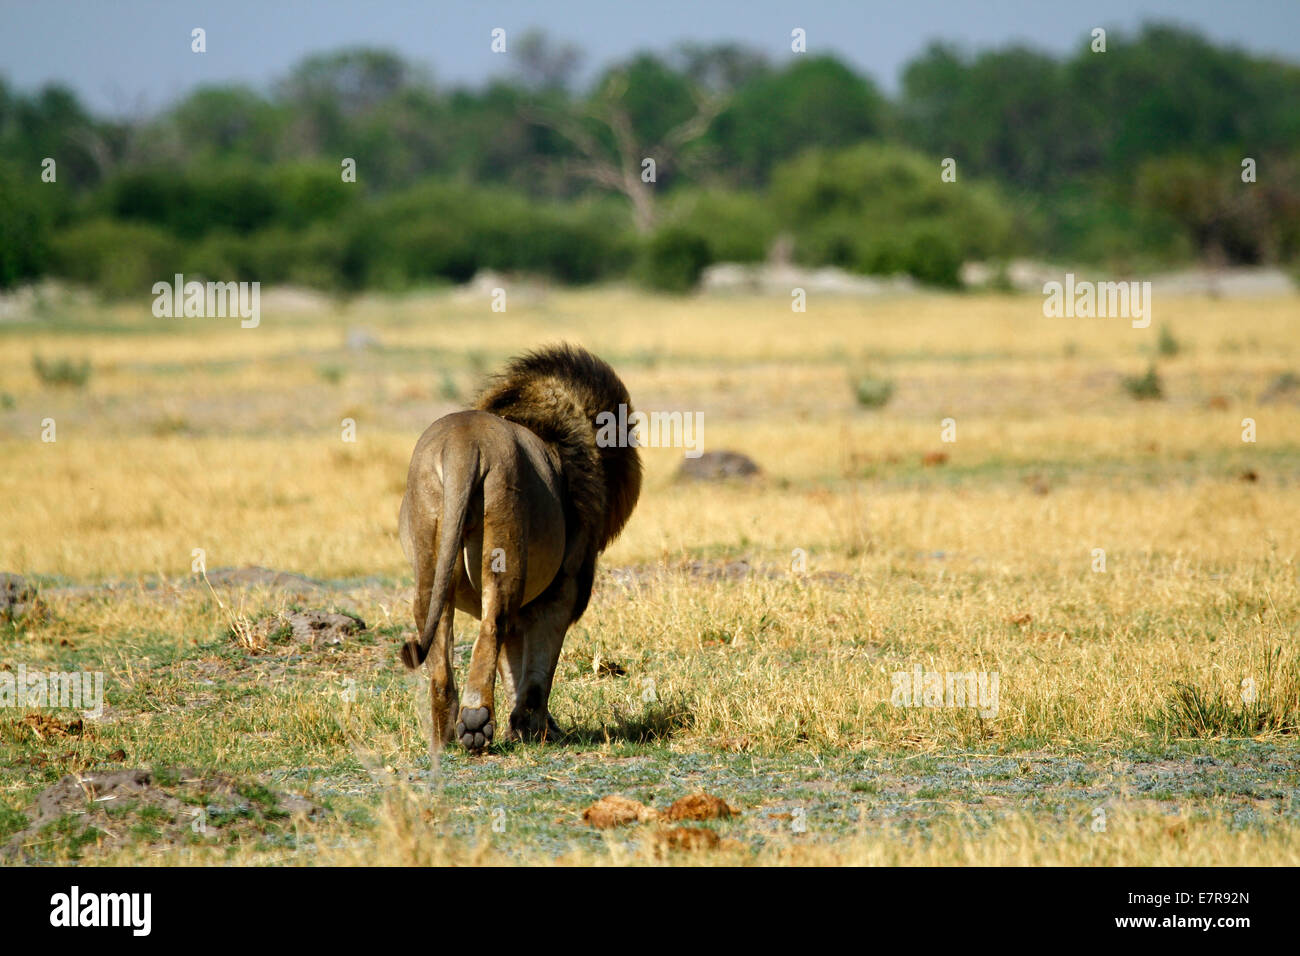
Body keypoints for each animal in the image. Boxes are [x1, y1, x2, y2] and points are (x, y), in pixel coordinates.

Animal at [398, 345, 641, 752]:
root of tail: (465, 445)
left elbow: (512, 665)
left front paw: (522, 728)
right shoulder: (564, 589)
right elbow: (538, 668)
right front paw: (536, 728)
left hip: (431, 552)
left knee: (440, 639)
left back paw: (444, 733)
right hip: (505, 538)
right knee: (491, 627)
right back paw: (476, 721)